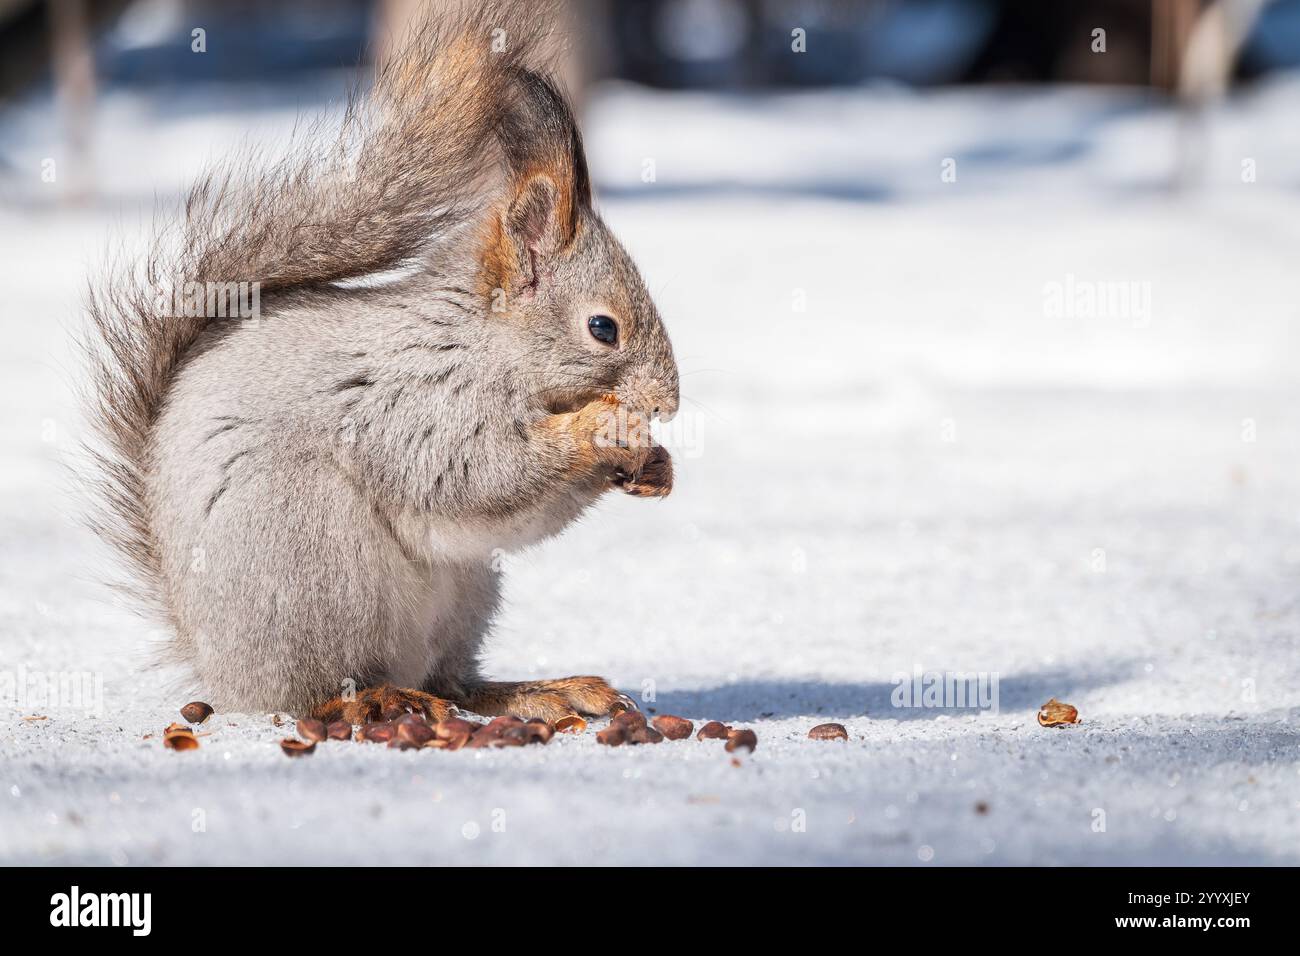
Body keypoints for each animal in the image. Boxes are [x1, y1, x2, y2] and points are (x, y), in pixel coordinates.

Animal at [82, 0, 678, 724]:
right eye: (603, 328)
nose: (670, 402)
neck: (483, 343)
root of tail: (222, 672)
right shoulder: (414, 401)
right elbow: (475, 477)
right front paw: (602, 428)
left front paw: (657, 466)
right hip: (321, 560)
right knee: (325, 691)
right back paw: (381, 697)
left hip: (464, 593)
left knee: (454, 681)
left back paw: (537, 691)